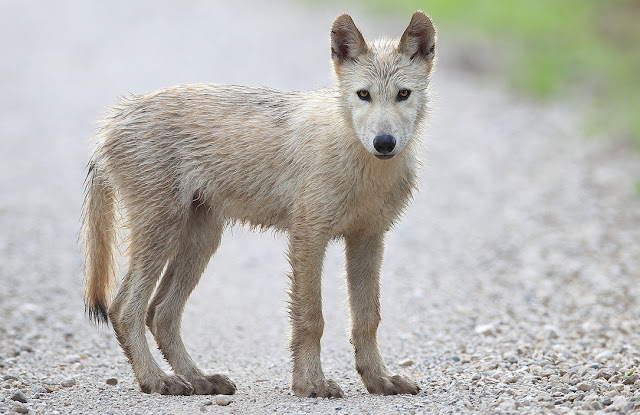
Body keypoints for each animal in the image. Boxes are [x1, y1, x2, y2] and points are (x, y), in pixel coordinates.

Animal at [82, 11, 436, 398]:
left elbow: (367, 318)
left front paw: (379, 380)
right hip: (163, 232)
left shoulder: (368, 239)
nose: (384, 142)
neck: (363, 164)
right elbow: (311, 318)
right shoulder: (308, 238)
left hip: (201, 240)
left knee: (160, 313)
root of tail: (115, 119)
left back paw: (199, 379)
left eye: (403, 94)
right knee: (125, 308)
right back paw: (157, 380)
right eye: (363, 95)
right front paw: (310, 384)